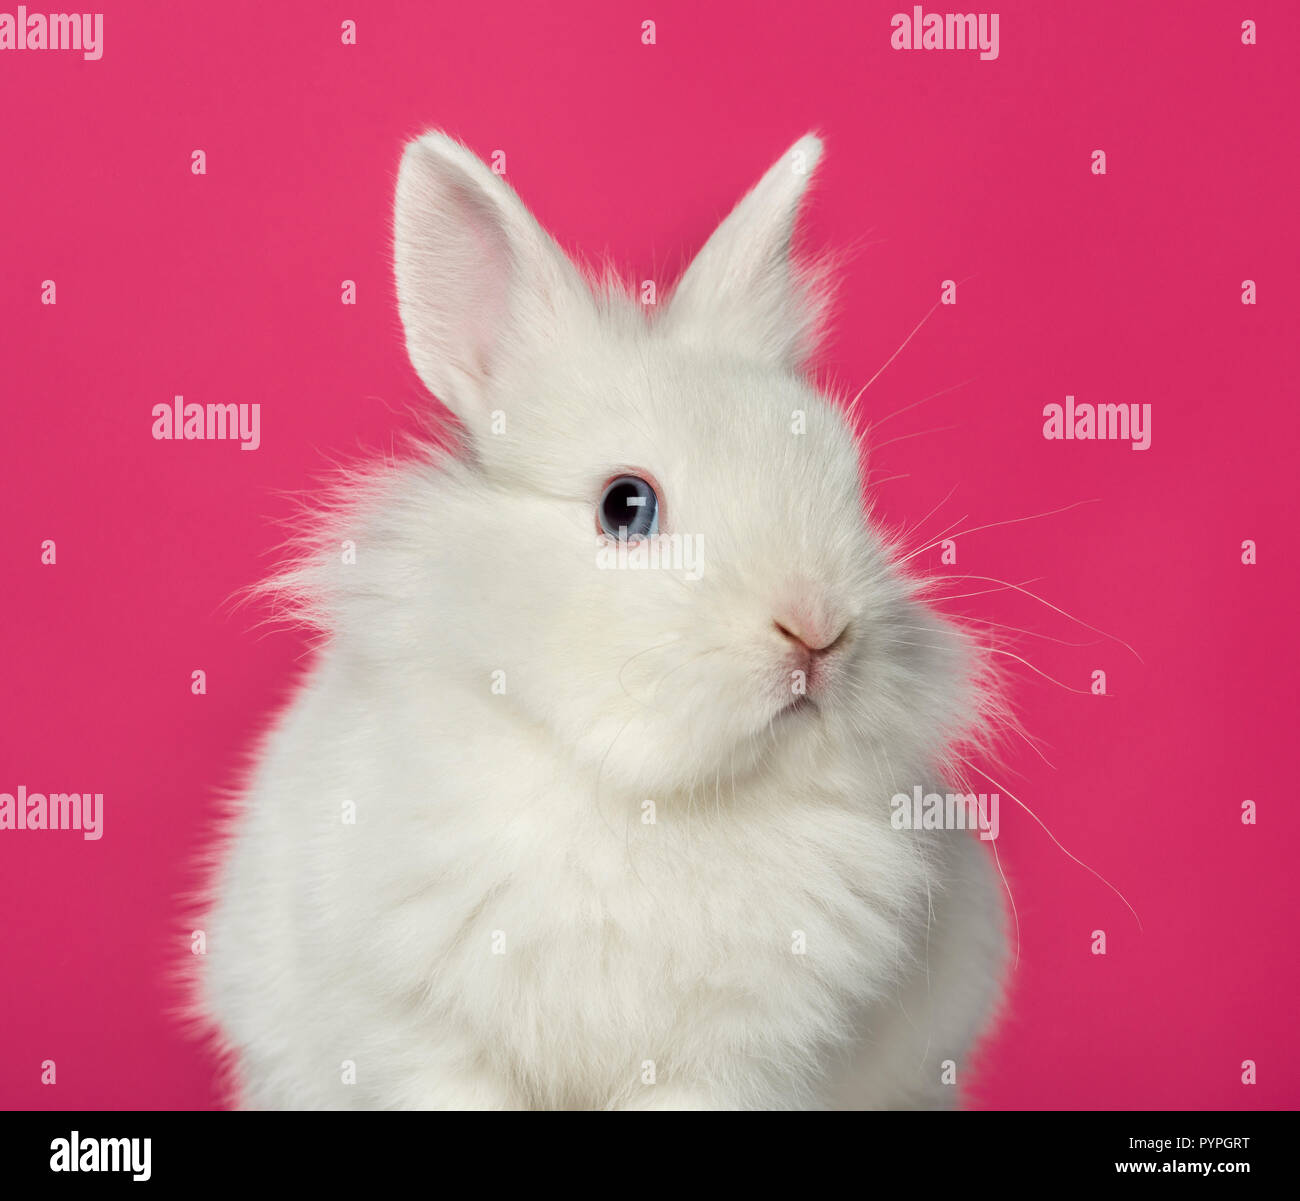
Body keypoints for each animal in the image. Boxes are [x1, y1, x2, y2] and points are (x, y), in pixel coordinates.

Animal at [198, 130, 1007, 1110]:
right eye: (626, 505)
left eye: (852, 485)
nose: (818, 629)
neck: (651, 795)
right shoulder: (433, 1040)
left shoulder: (726, 1063)